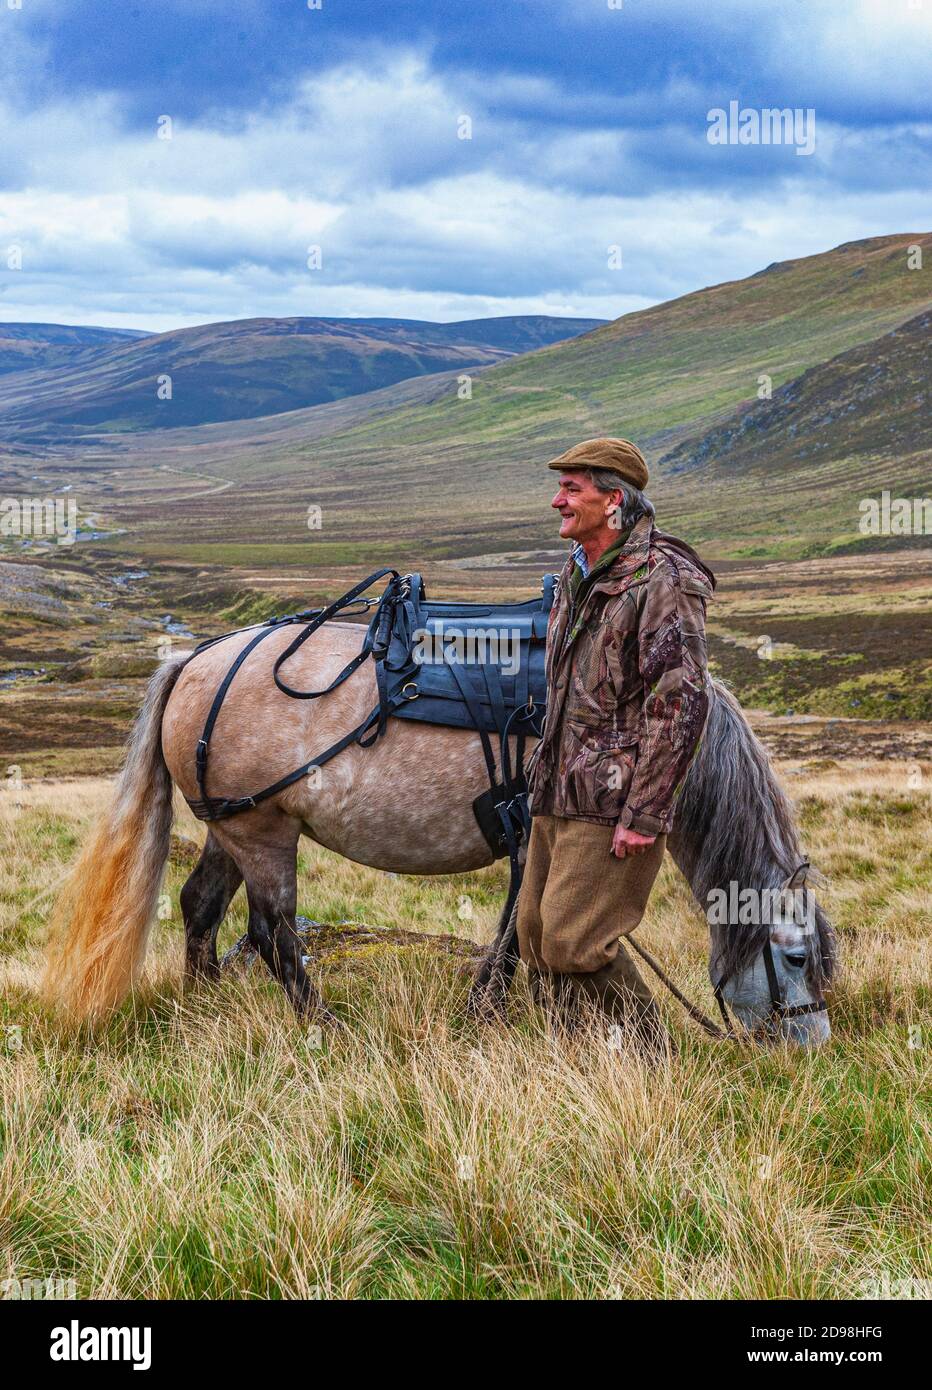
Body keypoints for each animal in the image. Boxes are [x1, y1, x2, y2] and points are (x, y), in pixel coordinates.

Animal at [43, 618, 836, 1045]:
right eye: (795, 958)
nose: (809, 1048)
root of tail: (194, 661)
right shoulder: (546, 841)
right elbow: (523, 939)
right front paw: (496, 1014)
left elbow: (525, 935)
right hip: (265, 832)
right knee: (273, 931)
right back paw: (325, 1026)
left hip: (233, 829)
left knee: (201, 906)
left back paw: (204, 1005)